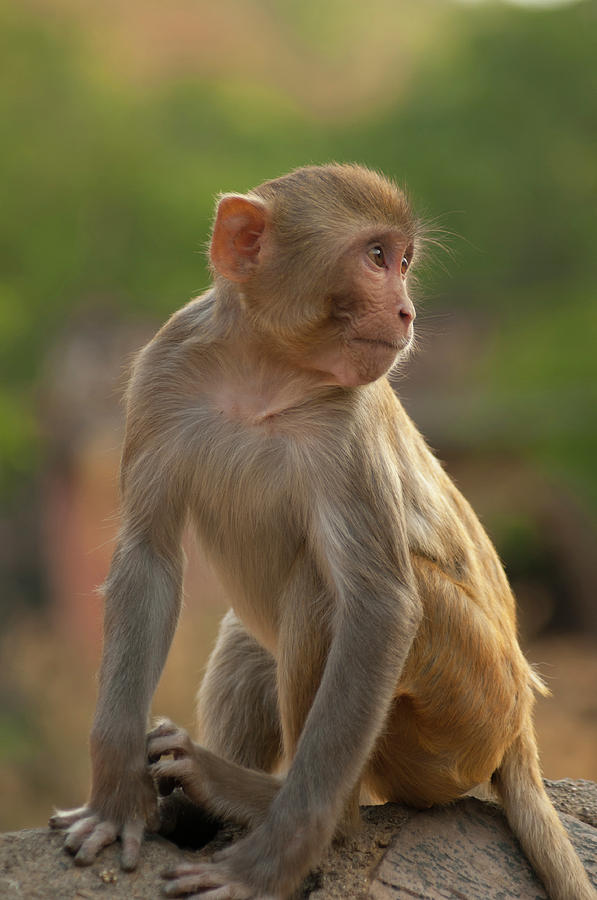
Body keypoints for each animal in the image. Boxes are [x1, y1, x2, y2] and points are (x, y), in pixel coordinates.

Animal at [50, 164, 595, 900]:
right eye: (376, 257)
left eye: (403, 262)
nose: (405, 311)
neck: (264, 368)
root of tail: (520, 731)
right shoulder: (162, 372)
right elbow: (149, 556)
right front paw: (114, 801)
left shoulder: (349, 422)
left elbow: (380, 606)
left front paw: (265, 866)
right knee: (251, 637)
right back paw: (192, 808)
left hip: (466, 708)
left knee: (321, 589)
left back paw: (282, 808)